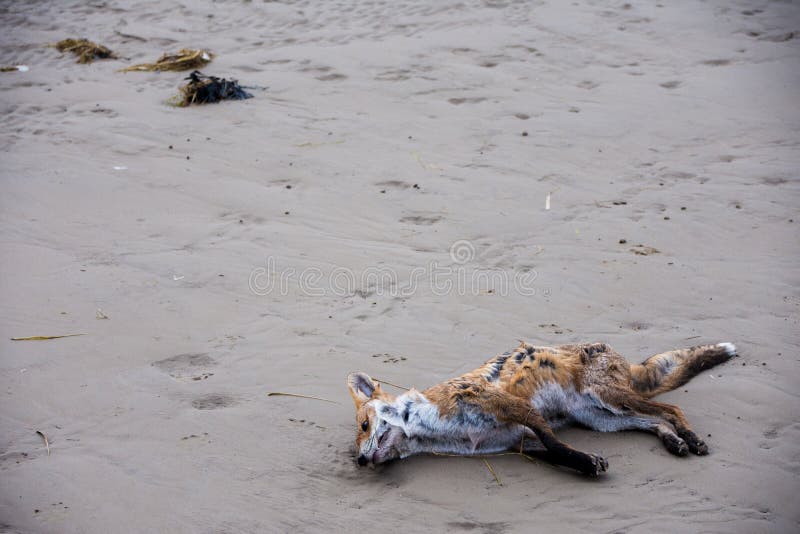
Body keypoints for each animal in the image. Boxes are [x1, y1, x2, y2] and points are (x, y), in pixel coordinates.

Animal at [347, 341, 736, 476]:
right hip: (602, 420)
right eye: (356, 444)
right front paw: (586, 464)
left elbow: (556, 445)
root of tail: (624, 359)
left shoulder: (514, 407)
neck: (438, 430)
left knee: (670, 409)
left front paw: (589, 462)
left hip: (610, 398)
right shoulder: (517, 441)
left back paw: (690, 437)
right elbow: (557, 453)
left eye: (364, 427)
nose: (361, 461)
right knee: (653, 422)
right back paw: (674, 441)